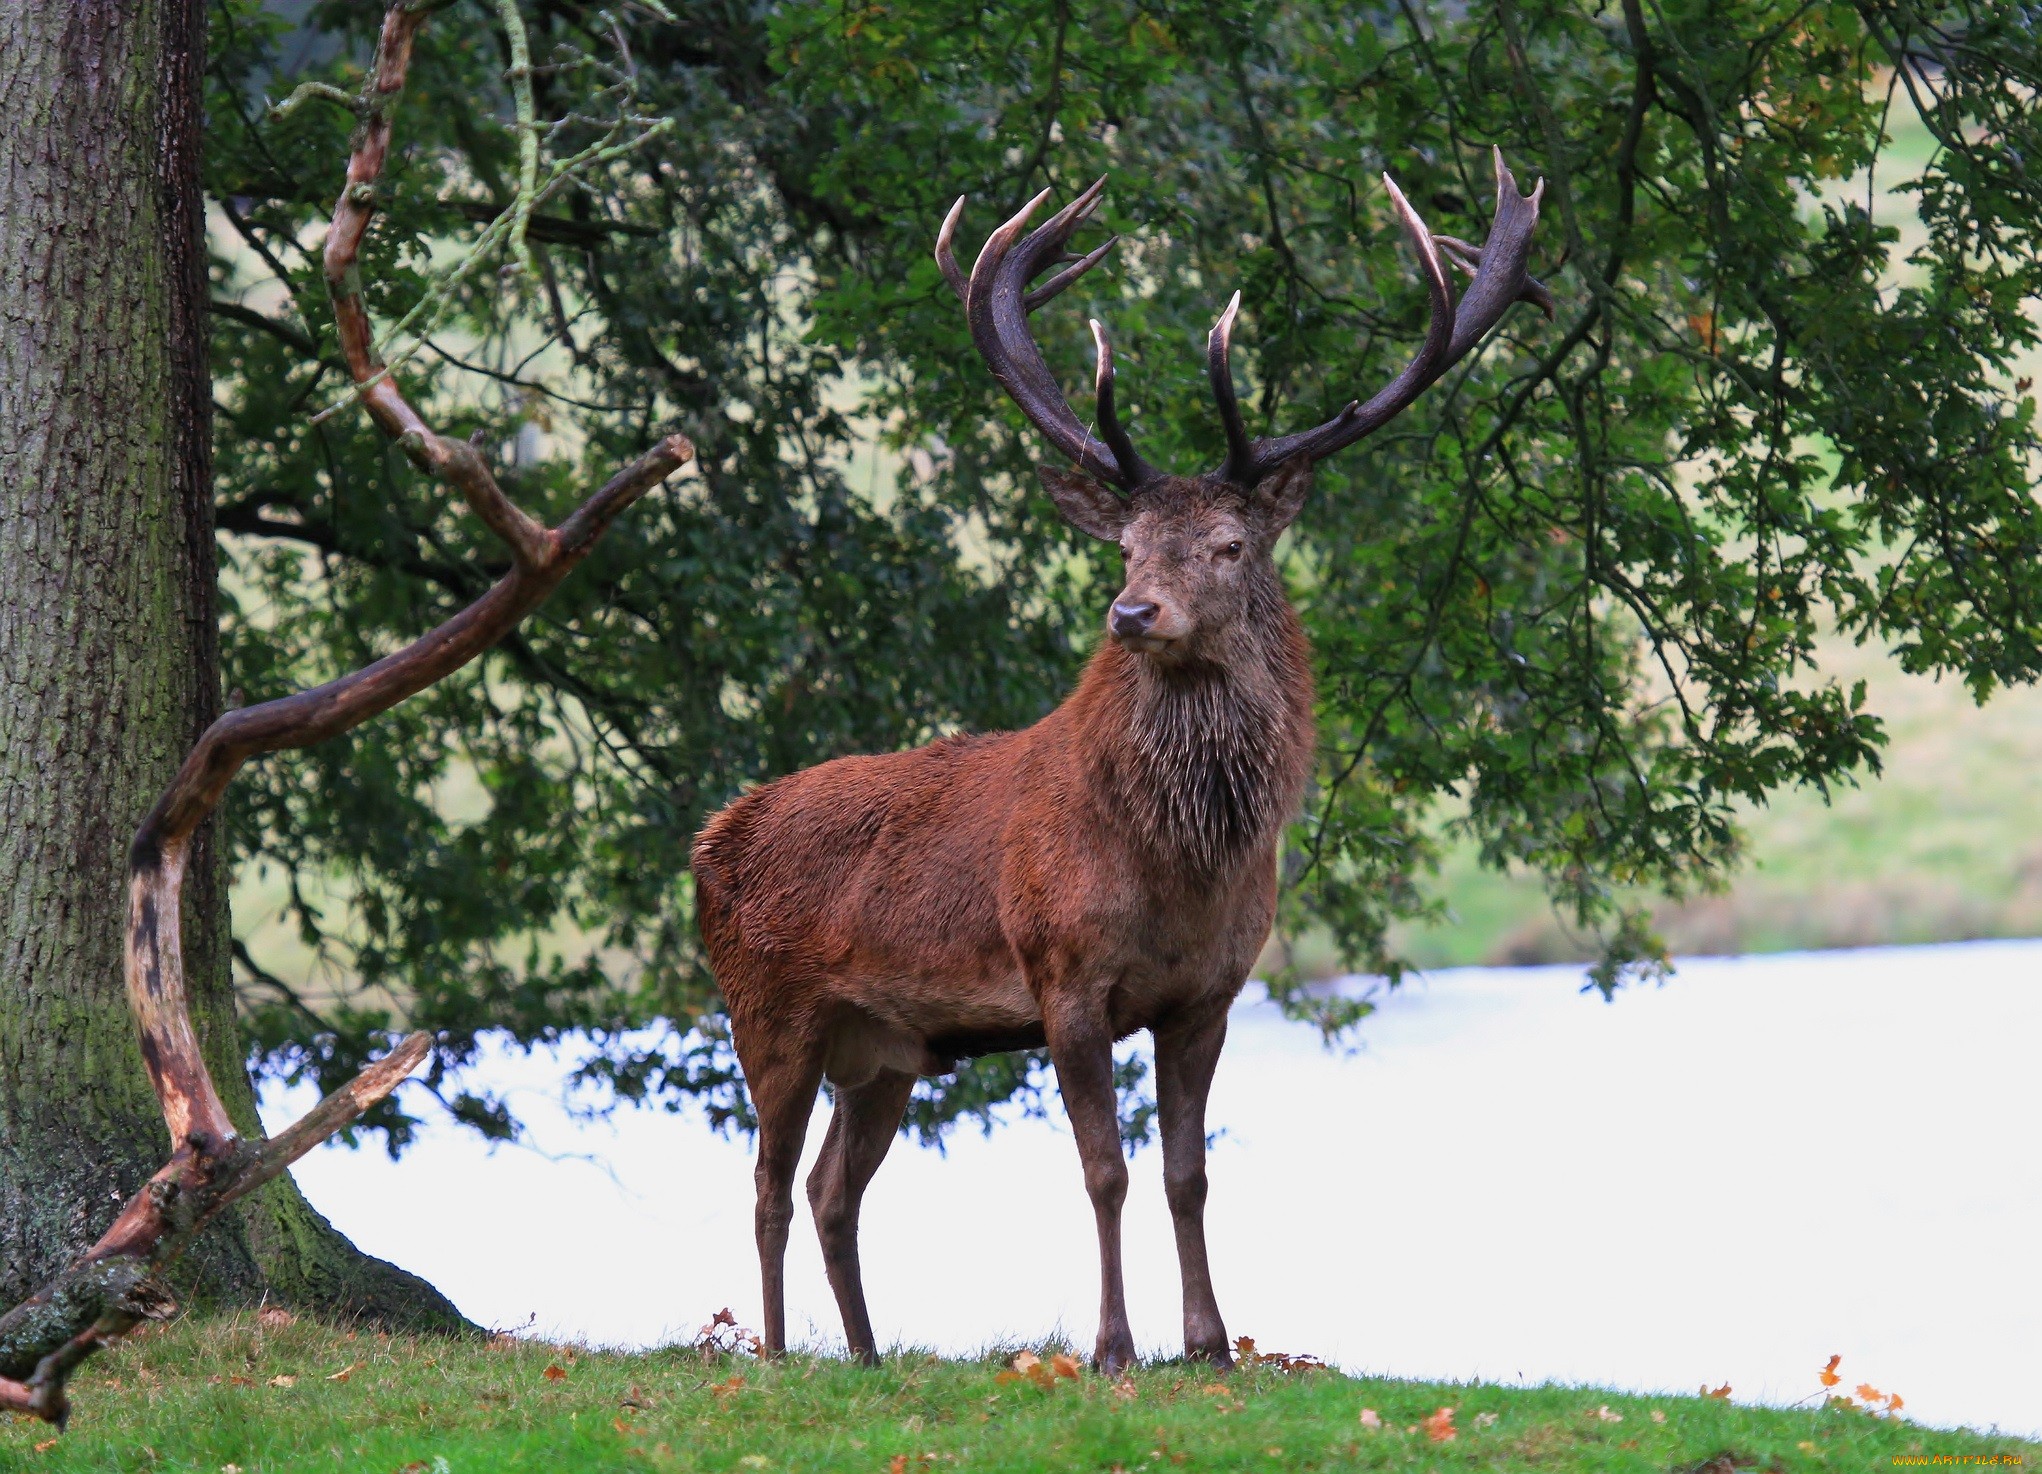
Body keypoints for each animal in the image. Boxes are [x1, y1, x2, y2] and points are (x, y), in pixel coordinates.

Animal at [690, 150, 1549, 1374]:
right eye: (1128, 545)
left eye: (1229, 544)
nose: (1130, 611)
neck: (1179, 863)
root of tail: (711, 839)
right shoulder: (1064, 975)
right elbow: (1105, 1169)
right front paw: (1111, 1349)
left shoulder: (1210, 994)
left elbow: (1190, 1173)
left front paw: (1212, 1341)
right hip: (767, 1009)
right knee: (765, 1183)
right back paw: (771, 1354)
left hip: (886, 1049)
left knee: (828, 1188)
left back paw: (863, 1351)